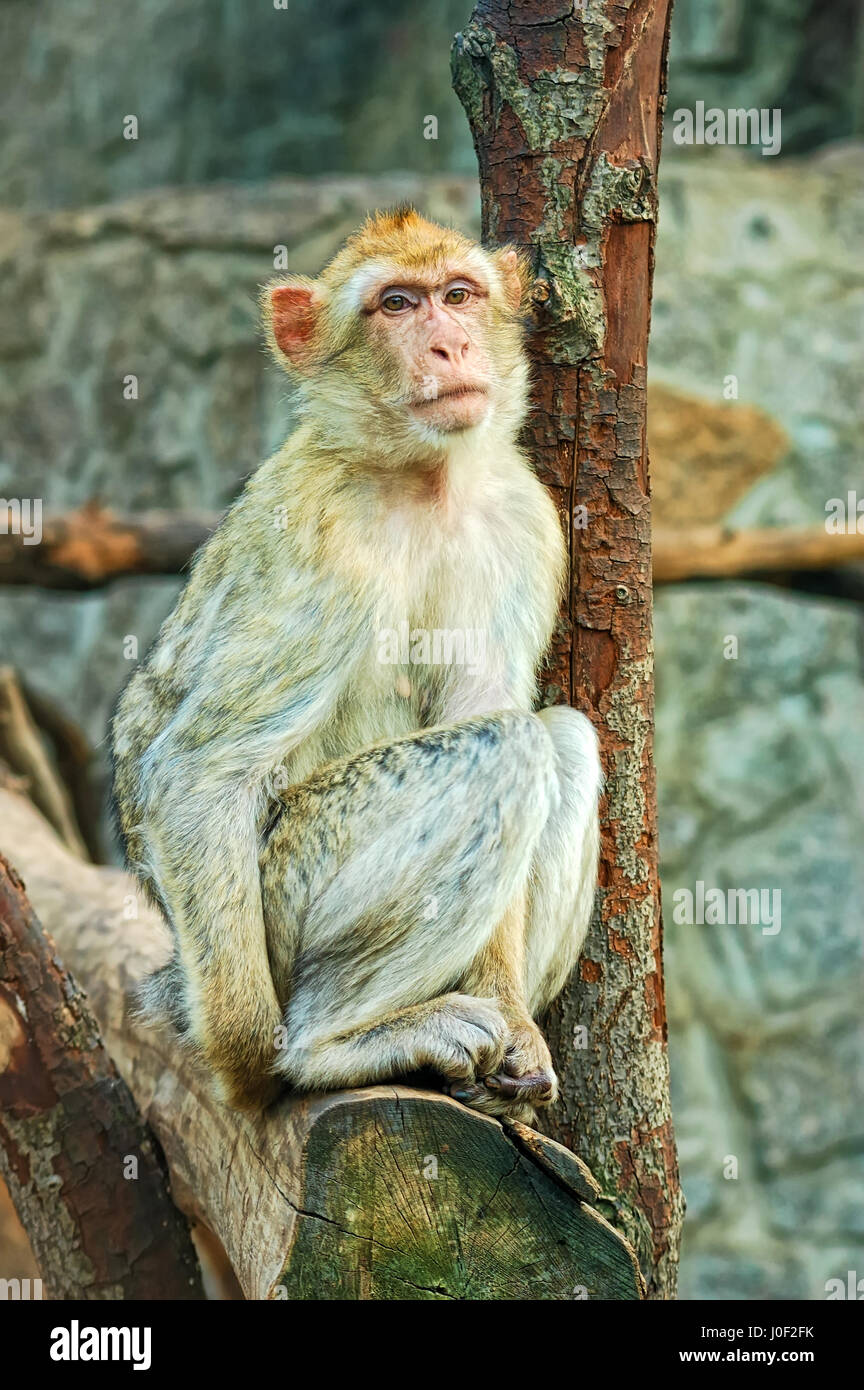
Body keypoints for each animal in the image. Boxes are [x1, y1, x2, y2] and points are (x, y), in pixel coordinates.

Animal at [111, 206, 602, 1122]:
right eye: (397, 304)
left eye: (459, 294)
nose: (449, 345)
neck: (422, 480)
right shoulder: (320, 547)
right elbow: (197, 774)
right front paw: (253, 1071)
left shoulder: (523, 522)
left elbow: (481, 699)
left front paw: (514, 1018)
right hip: (288, 891)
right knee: (511, 746)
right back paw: (326, 1047)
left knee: (560, 737)